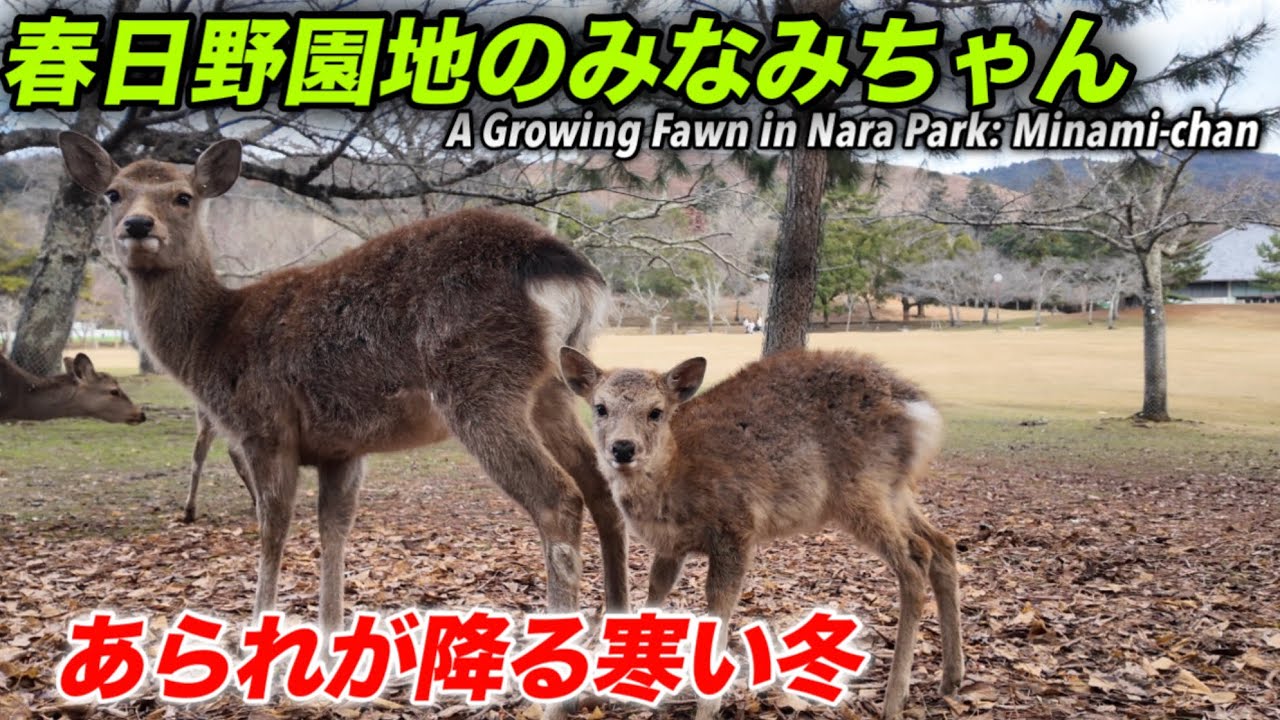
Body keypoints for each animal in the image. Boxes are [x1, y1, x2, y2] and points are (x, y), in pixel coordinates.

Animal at [58, 134, 631, 689]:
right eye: (113, 194)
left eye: (183, 196)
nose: (137, 225)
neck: (212, 341)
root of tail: (567, 272)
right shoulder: (342, 447)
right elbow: (333, 530)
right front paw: (332, 646)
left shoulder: (264, 426)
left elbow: (273, 529)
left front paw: (256, 646)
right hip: (551, 390)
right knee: (601, 489)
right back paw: (615, 637)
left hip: (478, 381)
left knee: (559, 498)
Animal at [559, 347, 964, 720]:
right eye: (600, 407)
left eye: (656, 411)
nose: (623, 448)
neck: (672, 482)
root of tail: (919, 412)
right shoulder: (673, 546)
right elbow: (656, 589)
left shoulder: (736, 526)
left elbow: (719, 602)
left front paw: (705, 708)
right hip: (895, 490)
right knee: (941, 544)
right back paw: (951, 678)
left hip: (862, 490)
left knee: (915, 560)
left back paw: (894, 702)